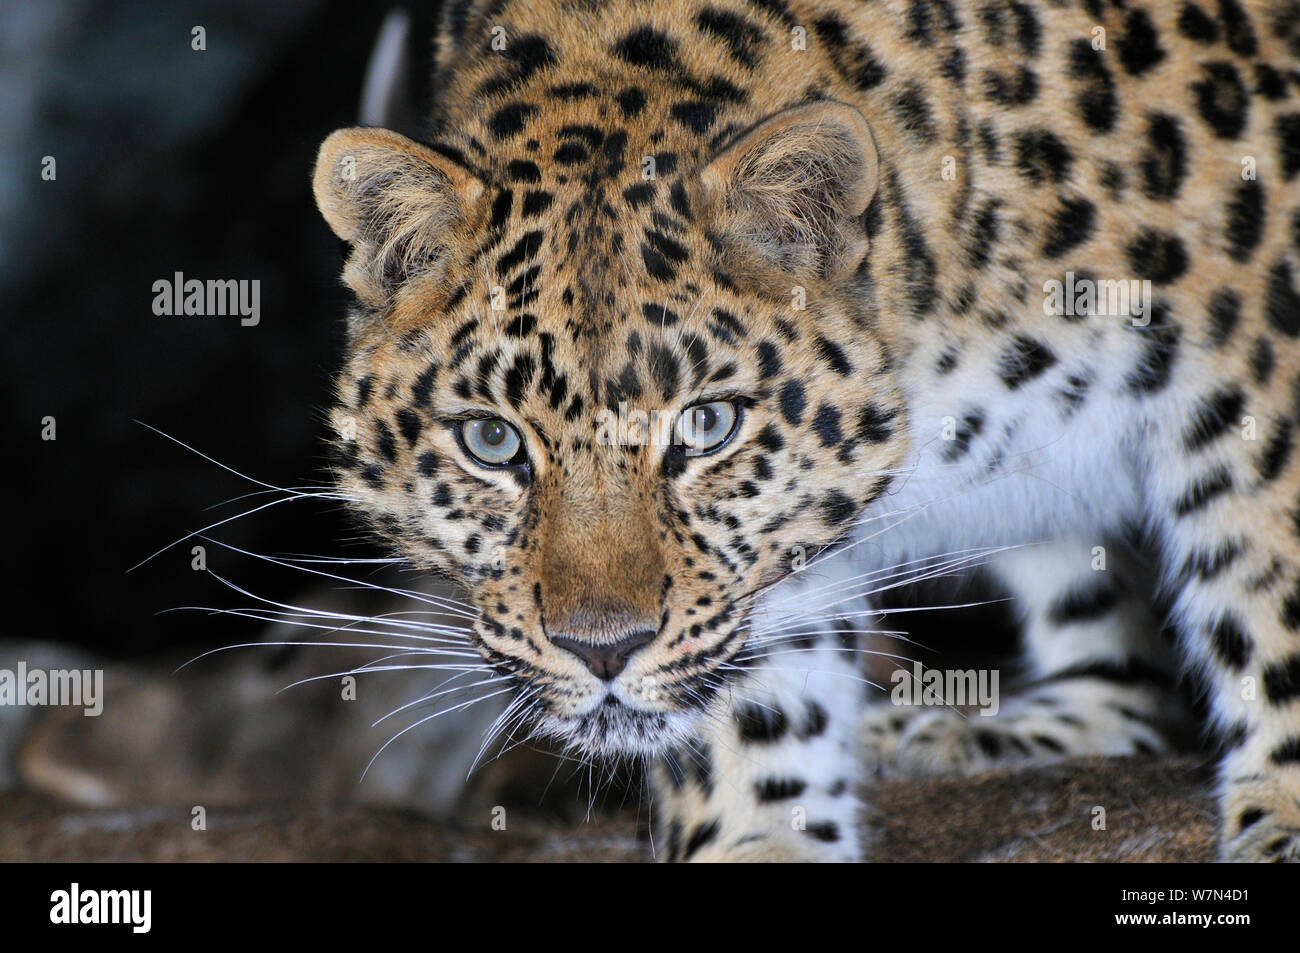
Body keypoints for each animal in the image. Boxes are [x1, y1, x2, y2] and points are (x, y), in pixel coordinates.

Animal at [310, 0, 1300, 861]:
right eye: (492, 441)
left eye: (707, 424)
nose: (603, 649)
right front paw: (760, 830)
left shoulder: (1258, 353)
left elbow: (1271, 588)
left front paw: (1285, 816)